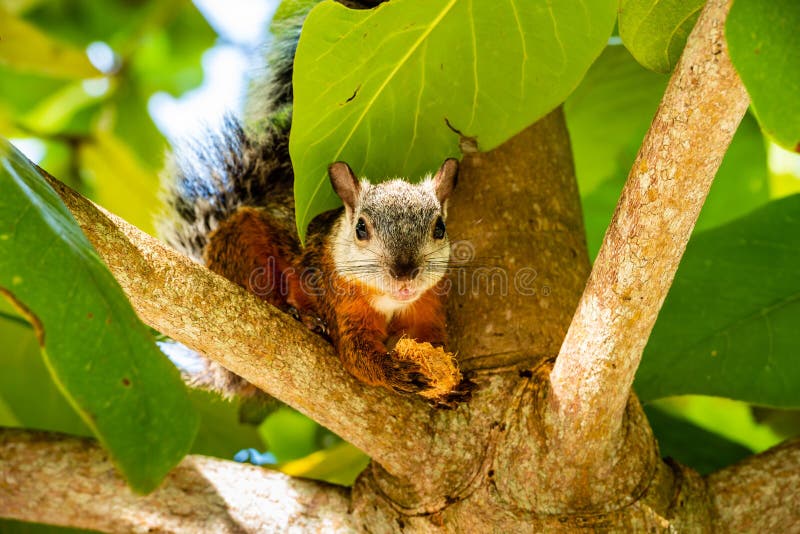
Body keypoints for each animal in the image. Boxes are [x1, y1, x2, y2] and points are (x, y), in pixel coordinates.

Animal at [158, 1, 473, 406]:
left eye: (440, 228)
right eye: (361, 229)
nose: (404, 276)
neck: (390, 300)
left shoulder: (426, 306)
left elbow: (431, 341)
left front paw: (450, 383)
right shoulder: (337, 296)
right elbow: (356, 355)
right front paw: (395, 372)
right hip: (244, 244)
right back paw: (299, 315)